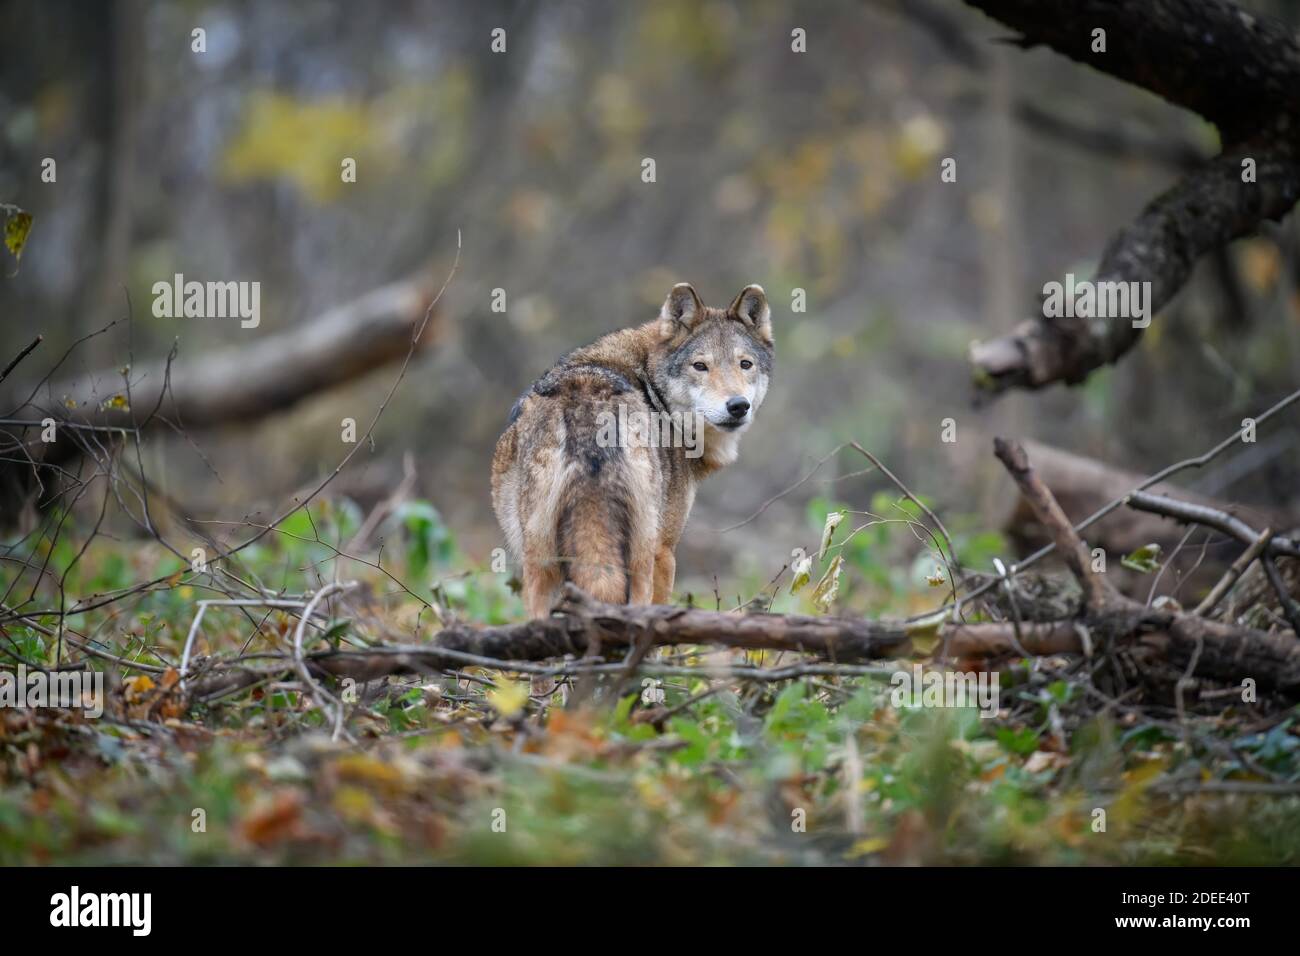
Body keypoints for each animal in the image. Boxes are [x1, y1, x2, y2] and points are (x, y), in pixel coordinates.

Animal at [492, 282, 773, 618]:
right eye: (700, 366)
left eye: (745, 364)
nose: (738, 406)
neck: (653, 390)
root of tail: (586, 418)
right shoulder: (666, 551)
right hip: (637, 558)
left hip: (542, 564)